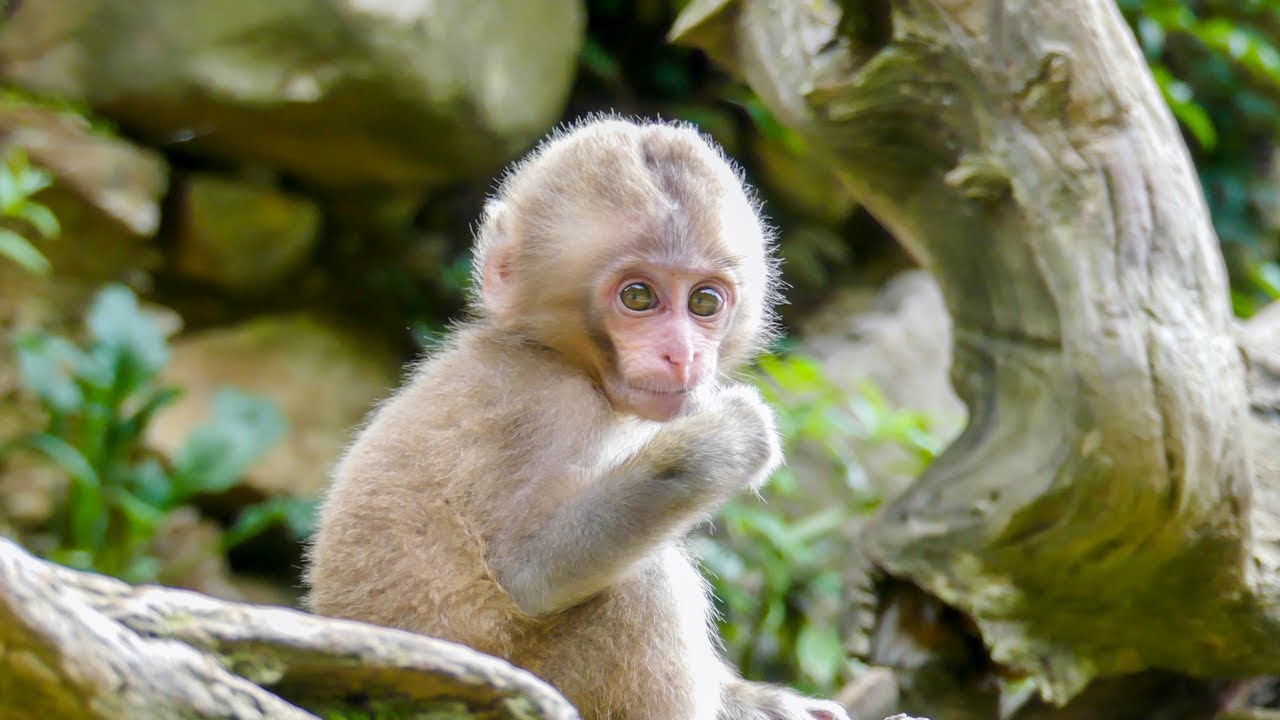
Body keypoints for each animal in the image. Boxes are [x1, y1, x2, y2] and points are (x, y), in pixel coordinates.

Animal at [304, 116, 851, 720]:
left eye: (704, 303)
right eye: (639, 297)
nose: (682, 354)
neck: (557, 356)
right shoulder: (544, 410)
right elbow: (529, 574)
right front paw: (720, 443)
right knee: (645, 582)